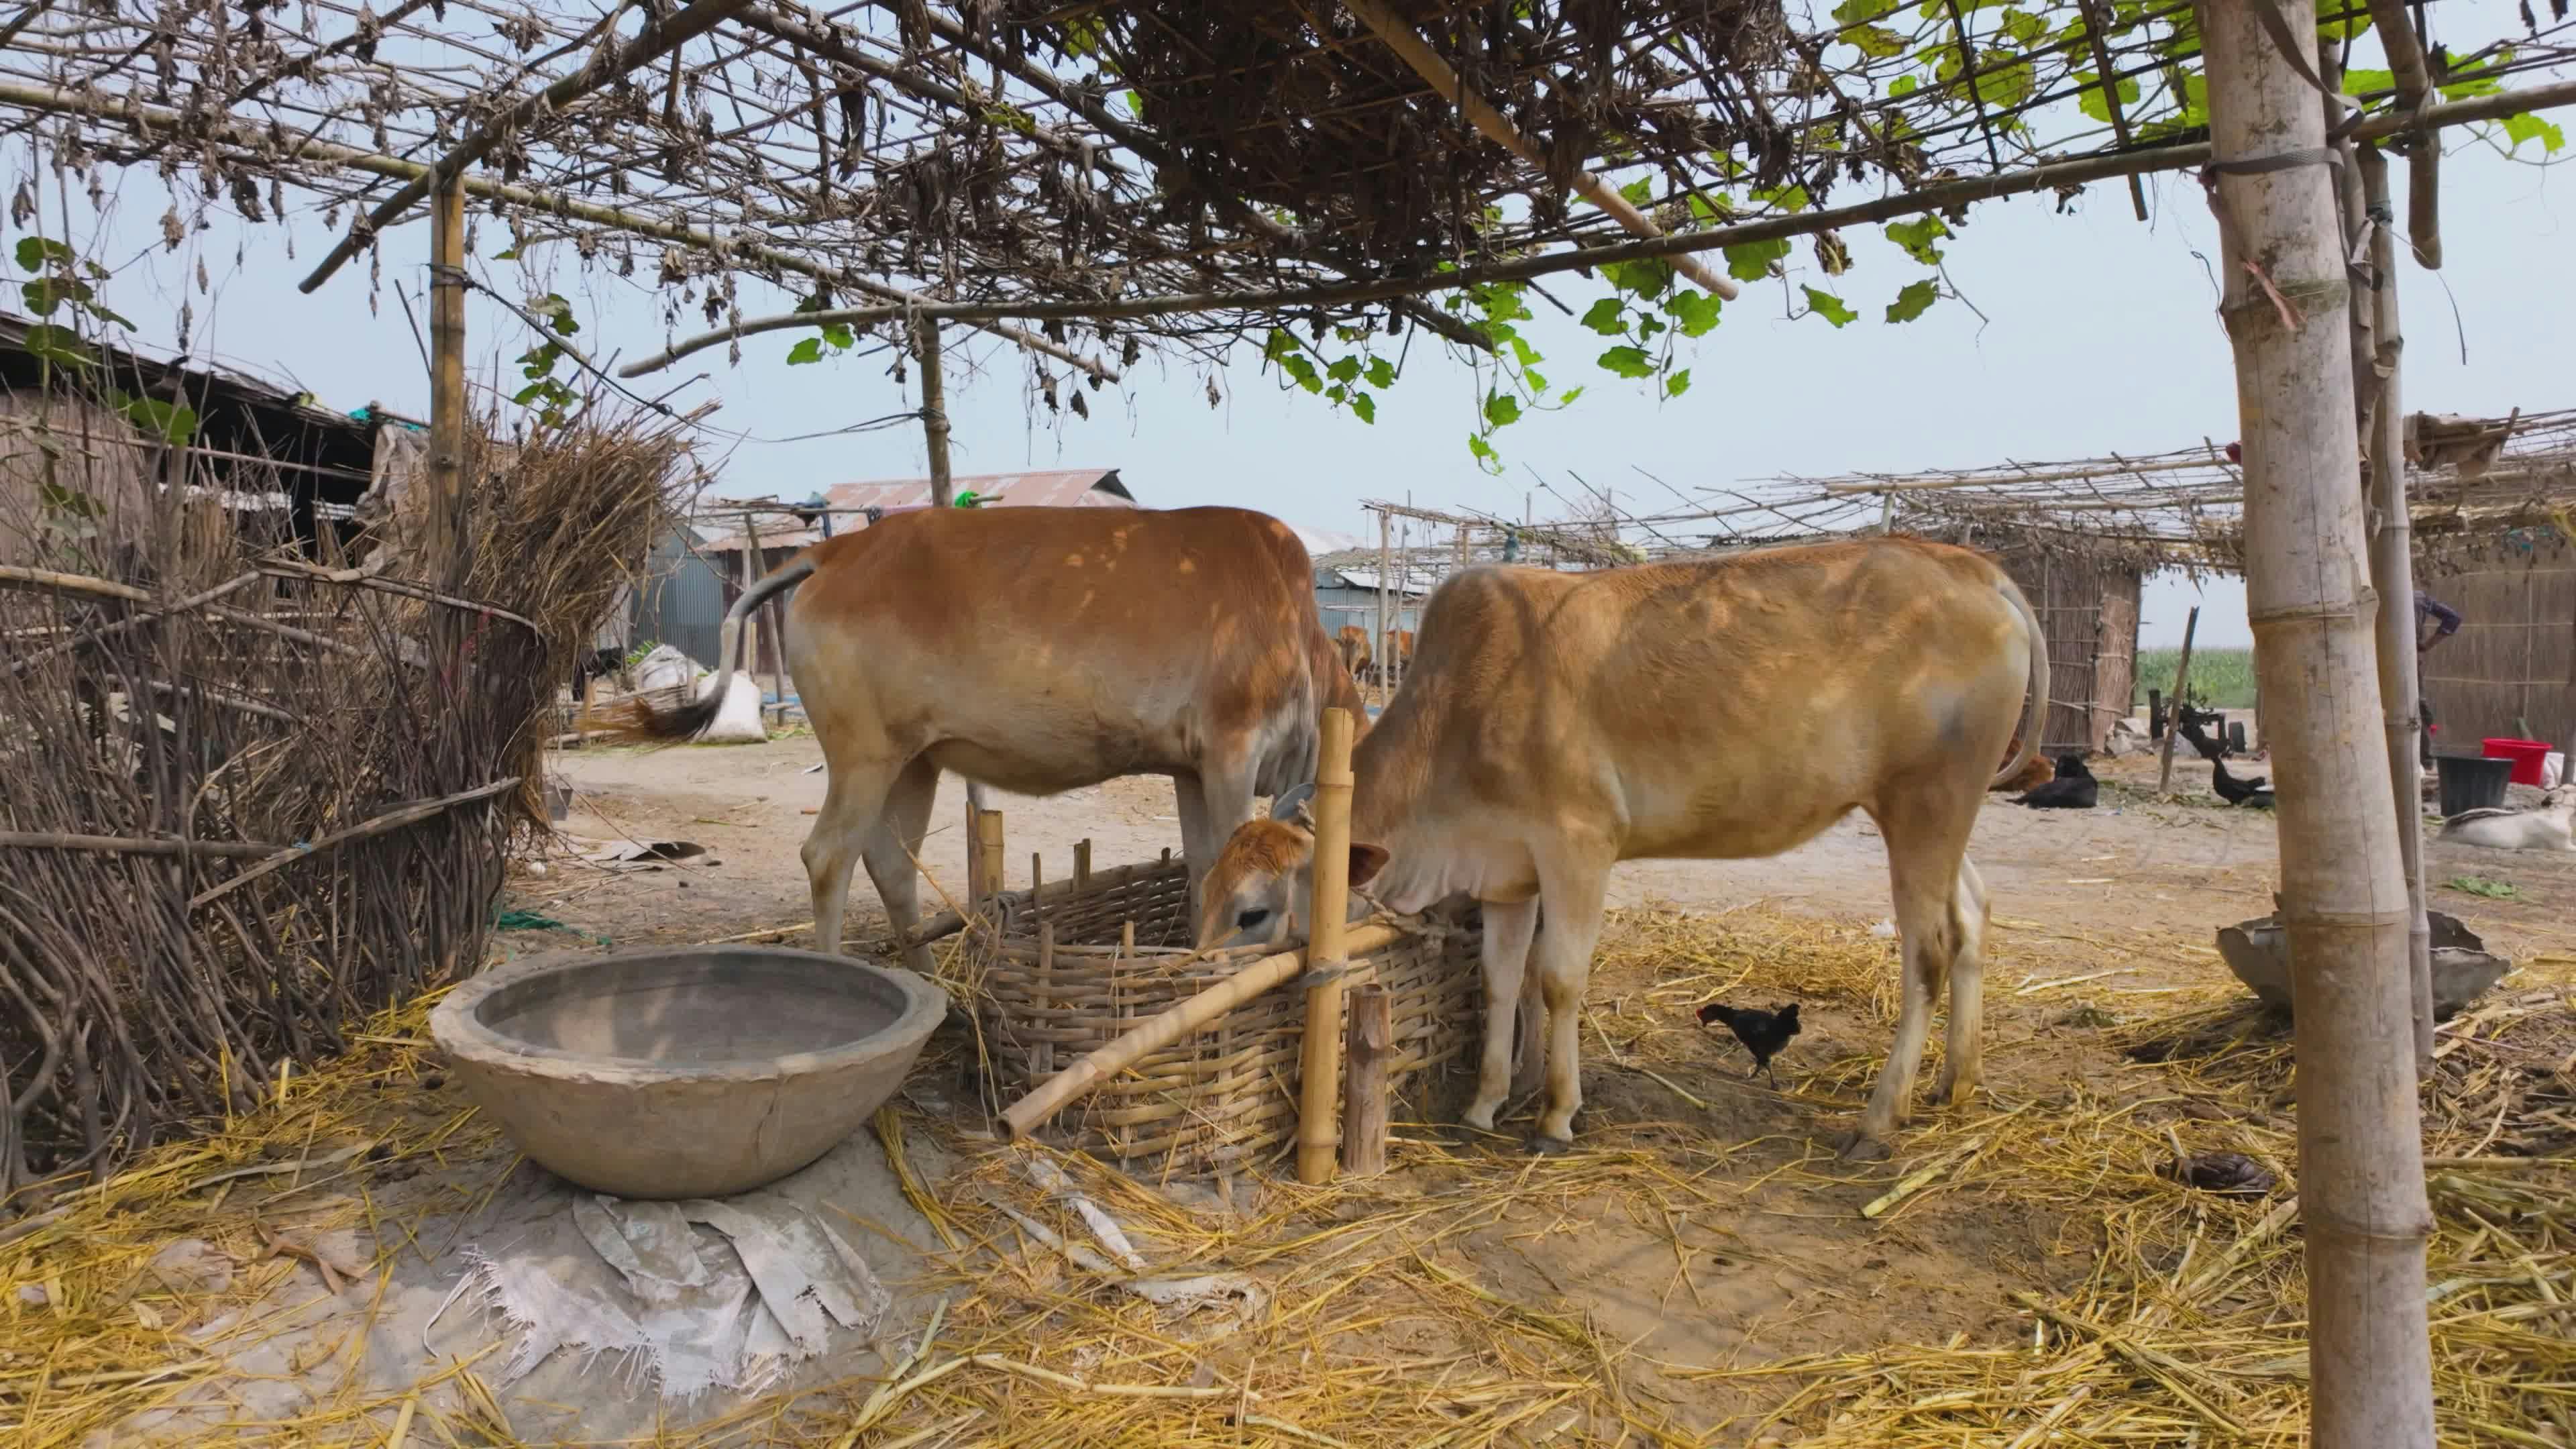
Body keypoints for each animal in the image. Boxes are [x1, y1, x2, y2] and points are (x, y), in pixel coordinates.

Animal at [606, 506, 1370, 972]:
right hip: (862, 756)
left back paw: (927, 983)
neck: (1292, 621)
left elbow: (1206, 863)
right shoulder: (1232, 753)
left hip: (913, 761)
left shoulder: (1190, 768)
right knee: (828, 856)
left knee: (892, 862)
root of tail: (833, 550)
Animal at [1192, 537, 2046, 1161]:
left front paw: (1554, 1117)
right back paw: (1954, 1084)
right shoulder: (1510, 874)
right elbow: (1503, 981)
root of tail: (1976, 569)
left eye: (1253, 912)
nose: (1198, 980)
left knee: (1927, 954)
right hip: (1931, 814)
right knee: (1973, 917)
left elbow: (1560, 981)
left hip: (1926, 803)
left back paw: (1878, 1121)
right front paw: (1485, 1103)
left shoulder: (1580, 846)